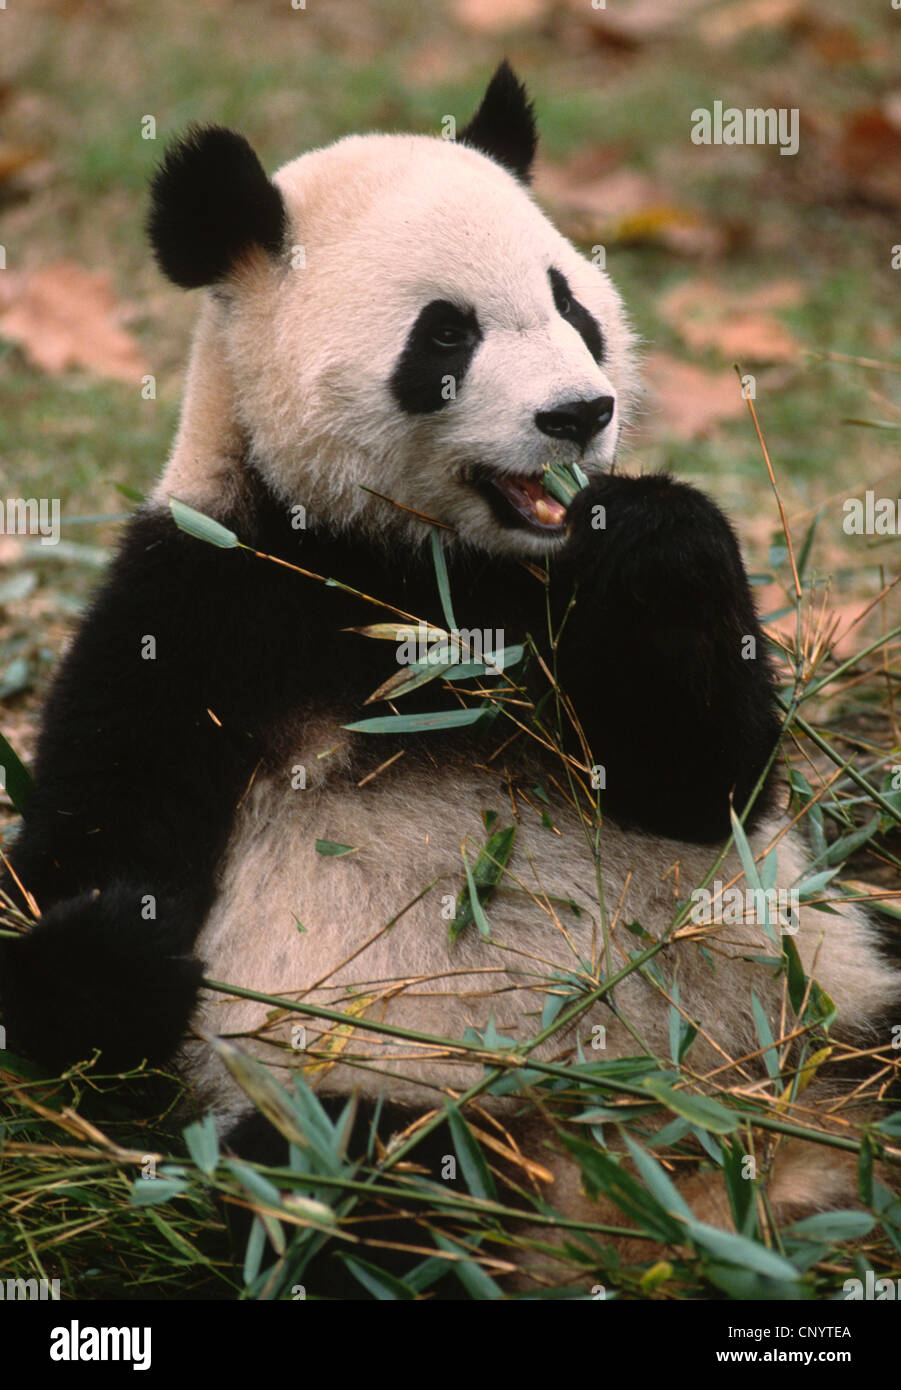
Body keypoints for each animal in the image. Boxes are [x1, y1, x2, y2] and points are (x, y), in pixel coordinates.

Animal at [1, 62, 897, 1280]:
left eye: (571, 303)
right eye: (444, 337)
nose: (580, 411)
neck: (404, 562)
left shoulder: (543, 615)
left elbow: (702, 783)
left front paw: (651, 532)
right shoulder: (202, 596)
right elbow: (86, 855)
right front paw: (117, 951)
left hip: (829, 982)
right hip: (389, 1093)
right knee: (343, 1185)